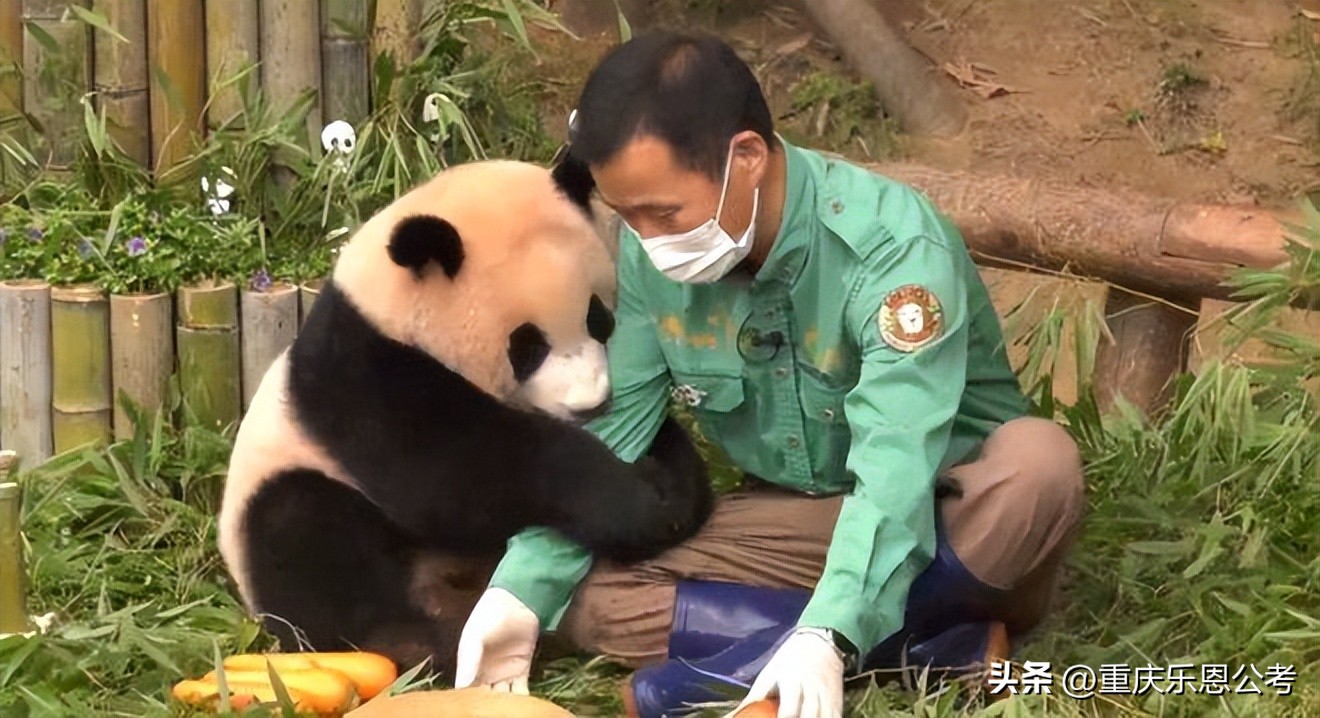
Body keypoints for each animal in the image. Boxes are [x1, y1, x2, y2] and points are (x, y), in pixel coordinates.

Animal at [217, 159, 713, 678]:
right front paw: (636, 503)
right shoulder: (362, 372)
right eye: (527, 347)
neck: (390, 303)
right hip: (282, 495)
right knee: (303, 533)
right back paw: (420, 643)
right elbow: (451, 476)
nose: (590, 404)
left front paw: (671, 485)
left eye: (600, 319)